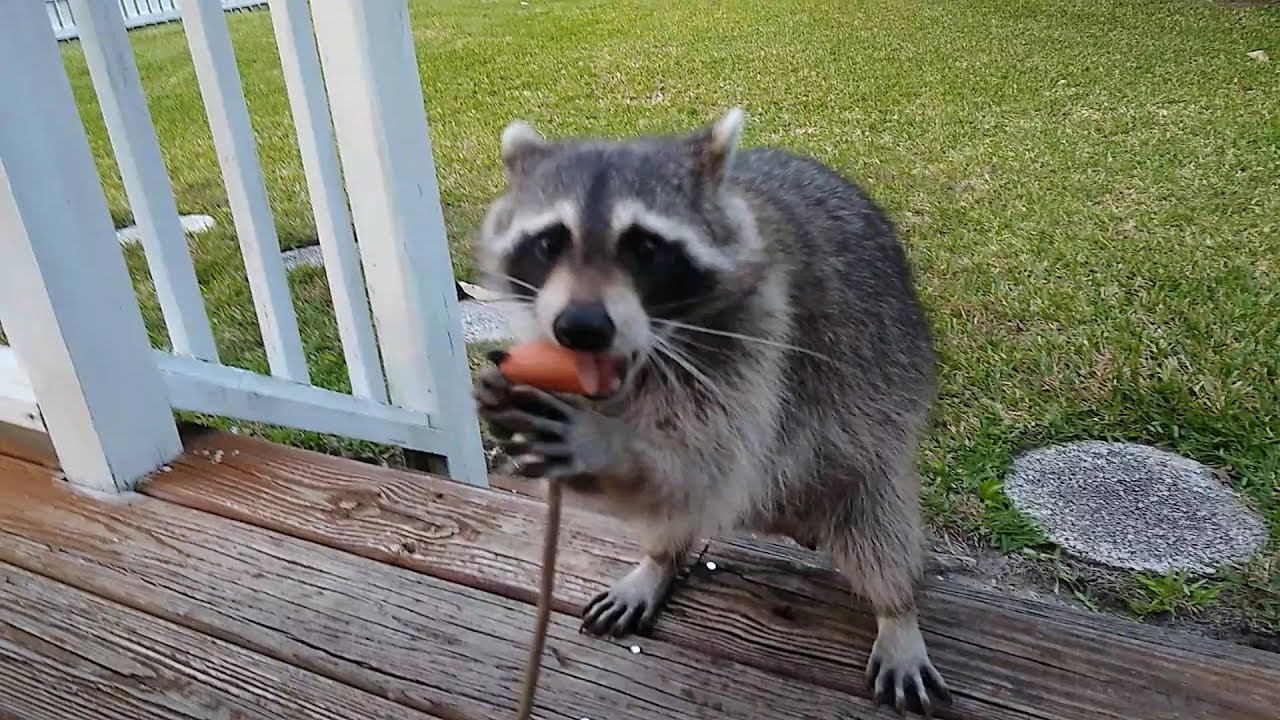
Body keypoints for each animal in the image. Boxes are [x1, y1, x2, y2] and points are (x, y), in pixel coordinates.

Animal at [473, 109, 951, 715]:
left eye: (645, 248)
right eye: (549, 241)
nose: (581, 327)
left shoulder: (765, 338)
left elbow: (712, 469)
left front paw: (607, 447)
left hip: (878, 397)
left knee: (874, 517)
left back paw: (896, 608)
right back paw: (659, 559)